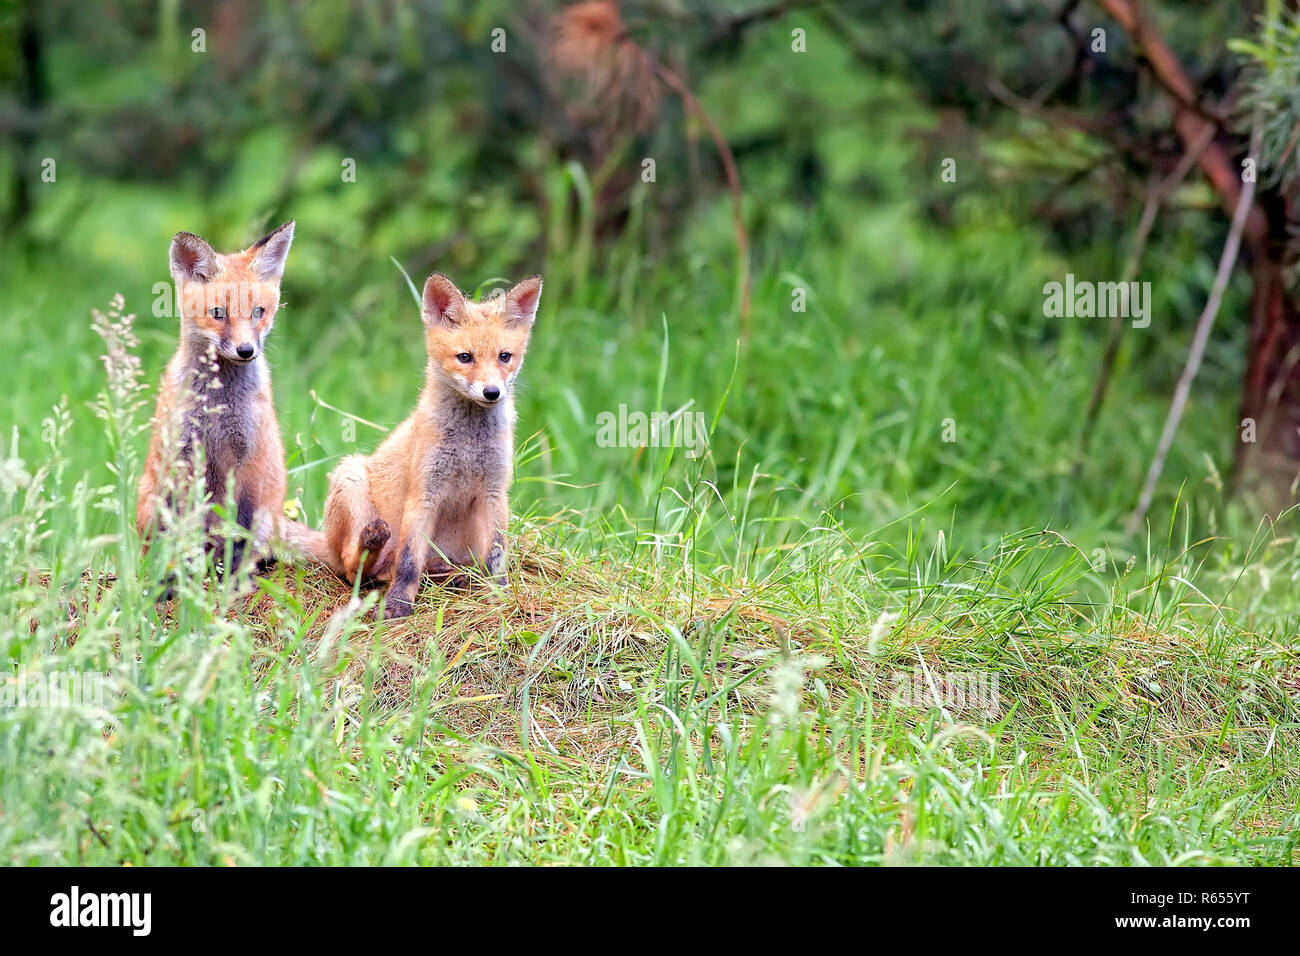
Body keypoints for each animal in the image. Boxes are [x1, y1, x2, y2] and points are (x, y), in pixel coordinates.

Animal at [137, 220, 331, 573]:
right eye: (218, 313)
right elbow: (180, 525)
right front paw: (175, 573)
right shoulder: (183, 453)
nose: (246, 350)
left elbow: (239, 527)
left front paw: (232, 574)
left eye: (258, 312)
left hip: (268, 512)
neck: (218, 403)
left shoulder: (250, 455)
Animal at [322, 272, 542, 619]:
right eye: (465, 357)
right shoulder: (424, 492)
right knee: (355, 568)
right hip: (350, 475)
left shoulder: (495, 492)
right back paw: (371, 548)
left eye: (504, 357)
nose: (492, 392)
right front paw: (398, 604)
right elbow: (409, 560)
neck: (468, 443)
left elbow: (496, 555)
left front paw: (502, 597)